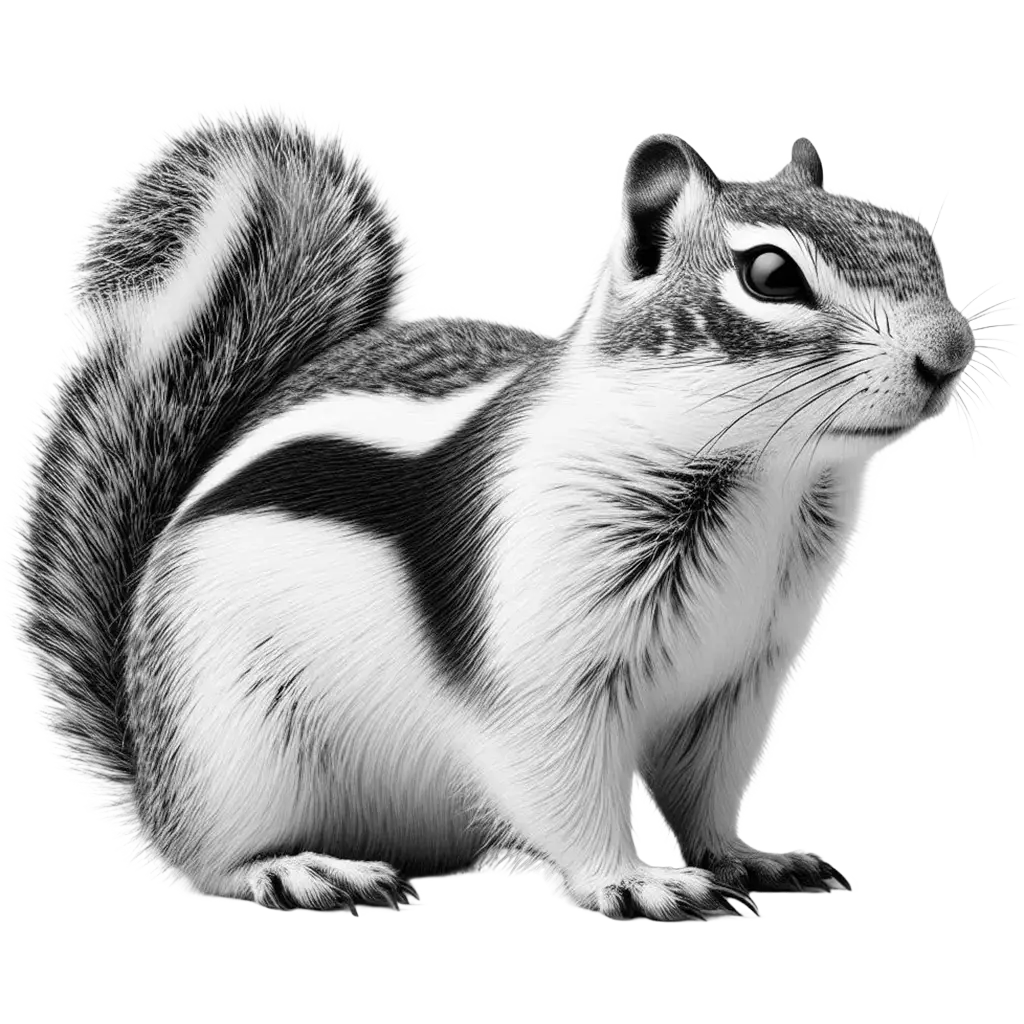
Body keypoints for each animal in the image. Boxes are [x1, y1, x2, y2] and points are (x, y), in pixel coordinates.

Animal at [5, 103, 980, 921]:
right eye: (770, 273)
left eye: (922, 242)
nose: (953, 350)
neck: (768, 483)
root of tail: (148, 774)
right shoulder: (548, 662)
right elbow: (561, 773)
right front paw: (635, 882)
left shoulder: (740, 678)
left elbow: (704, 784)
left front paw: (746, 854)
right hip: (228, 743)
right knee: (209, 861)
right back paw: (302, 869)